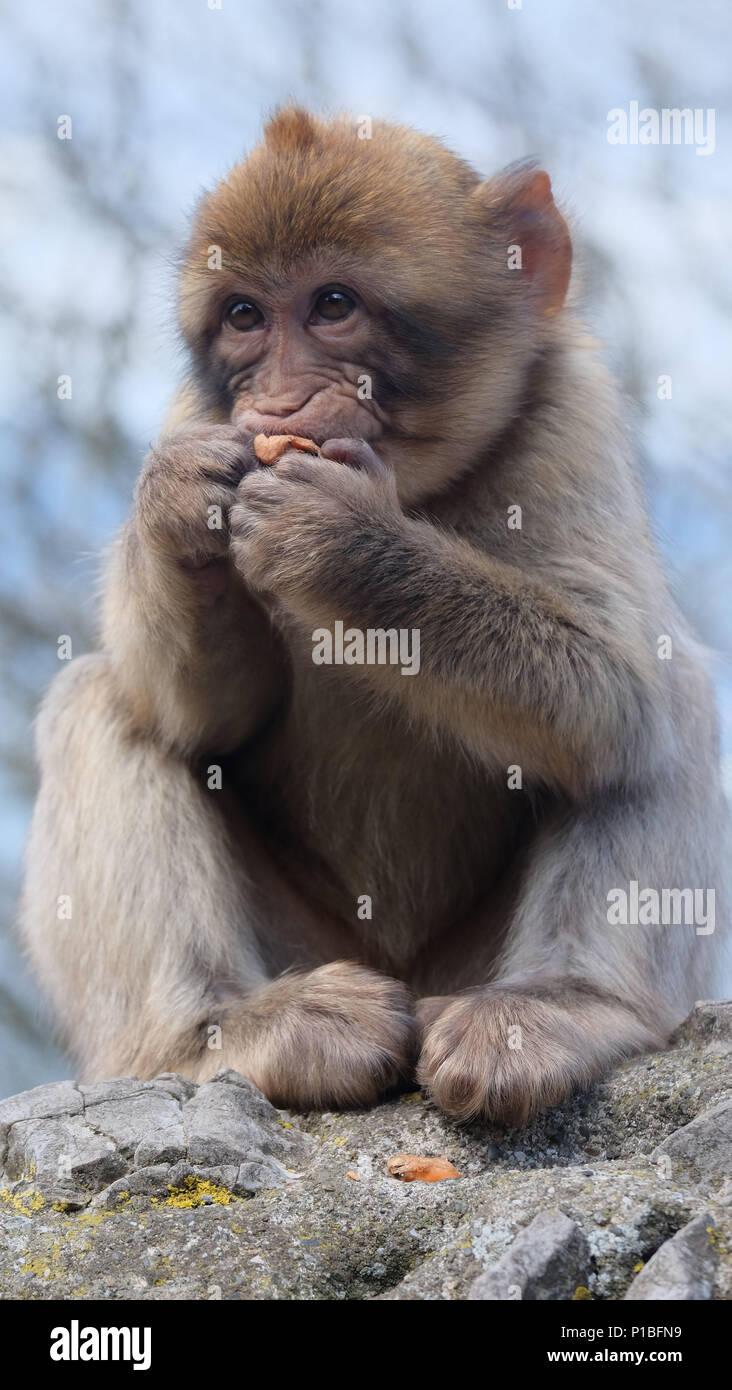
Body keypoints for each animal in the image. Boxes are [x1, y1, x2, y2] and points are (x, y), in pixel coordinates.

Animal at [21, 107, 728, 1125]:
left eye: (332, 304)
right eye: (245, 316)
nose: (276, 401)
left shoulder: (572, 413)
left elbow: (618, 681)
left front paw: (345, 542)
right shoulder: (192, 412)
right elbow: (201, 720)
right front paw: (176, 505)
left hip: (458, 974)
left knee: (658, 713)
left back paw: (560, 1009)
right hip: (312, 951)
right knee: (104, 702)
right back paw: (224, 1030)